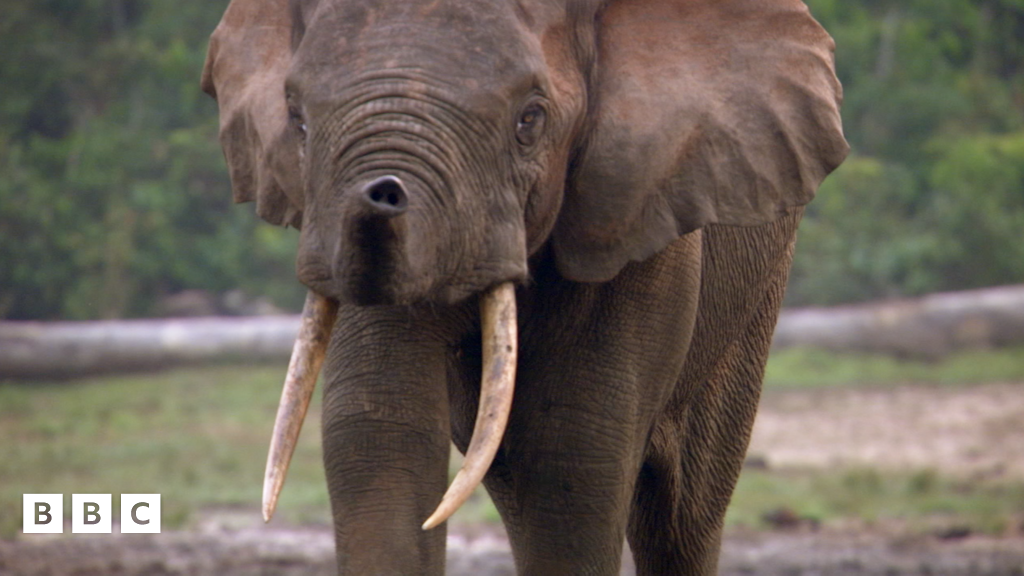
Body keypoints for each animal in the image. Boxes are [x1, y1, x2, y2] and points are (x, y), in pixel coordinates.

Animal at [200, 0, 847, 573]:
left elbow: (572, 457)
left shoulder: (636, 208)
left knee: (682, 512)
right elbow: (379, 431)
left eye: (529, 120)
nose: (381, 193)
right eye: (298, 119)